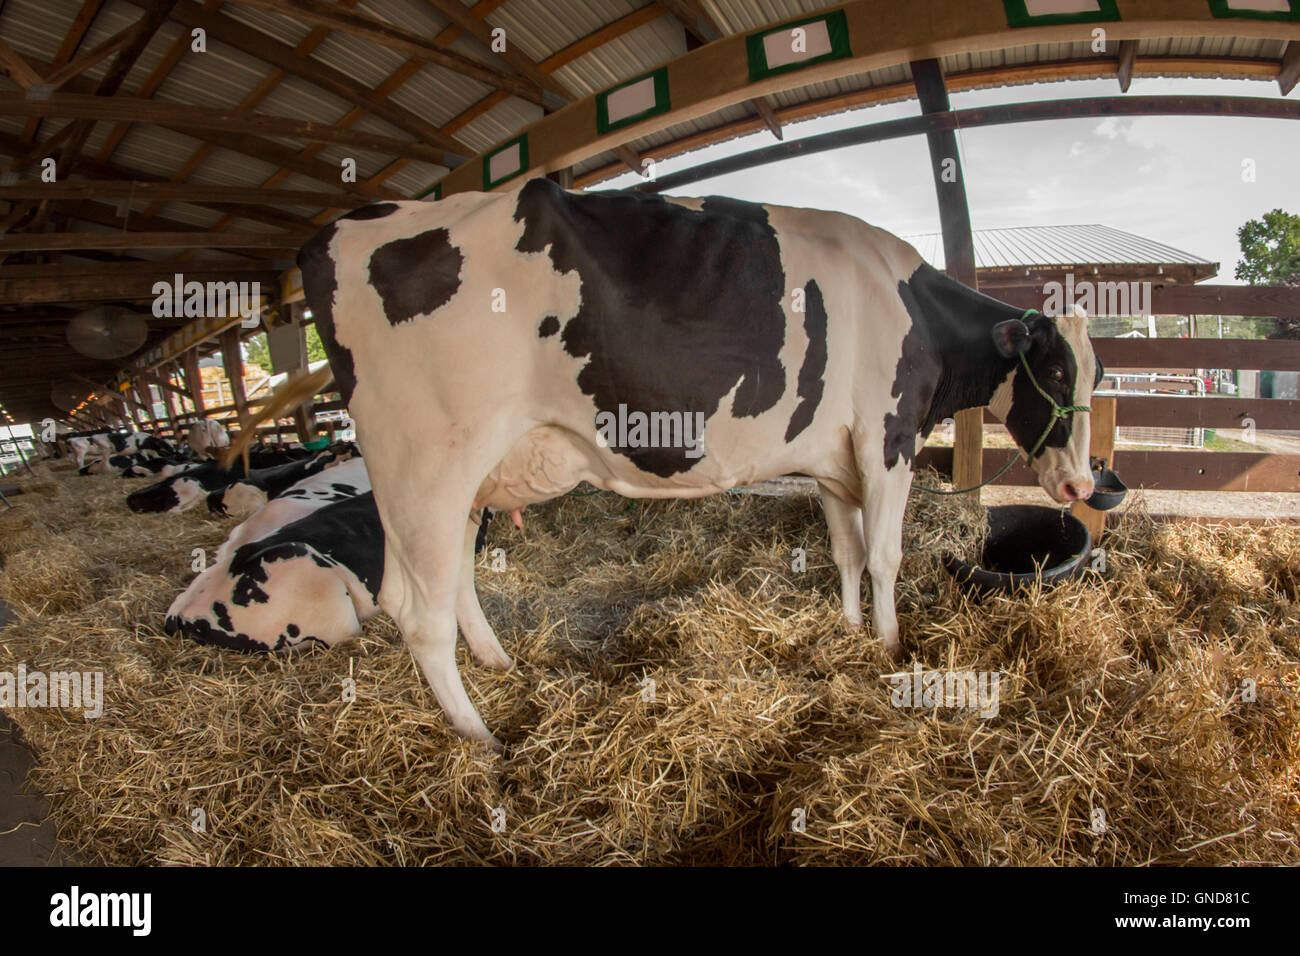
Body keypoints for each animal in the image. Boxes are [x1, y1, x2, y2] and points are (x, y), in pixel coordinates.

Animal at [236, 178, 1101, 745]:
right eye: (1057, 375)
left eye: (1095, 374)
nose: (1084, 484)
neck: (912, 310)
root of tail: (339, 230)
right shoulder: (888, 440)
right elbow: (886, 556)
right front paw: (891, 648)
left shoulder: (837, 459)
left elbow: (848, 553)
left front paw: (851, 631)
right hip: (427, 460)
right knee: (416, 609)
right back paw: (483, 739)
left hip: (454, 480)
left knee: (448, 588)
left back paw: (500, 666)